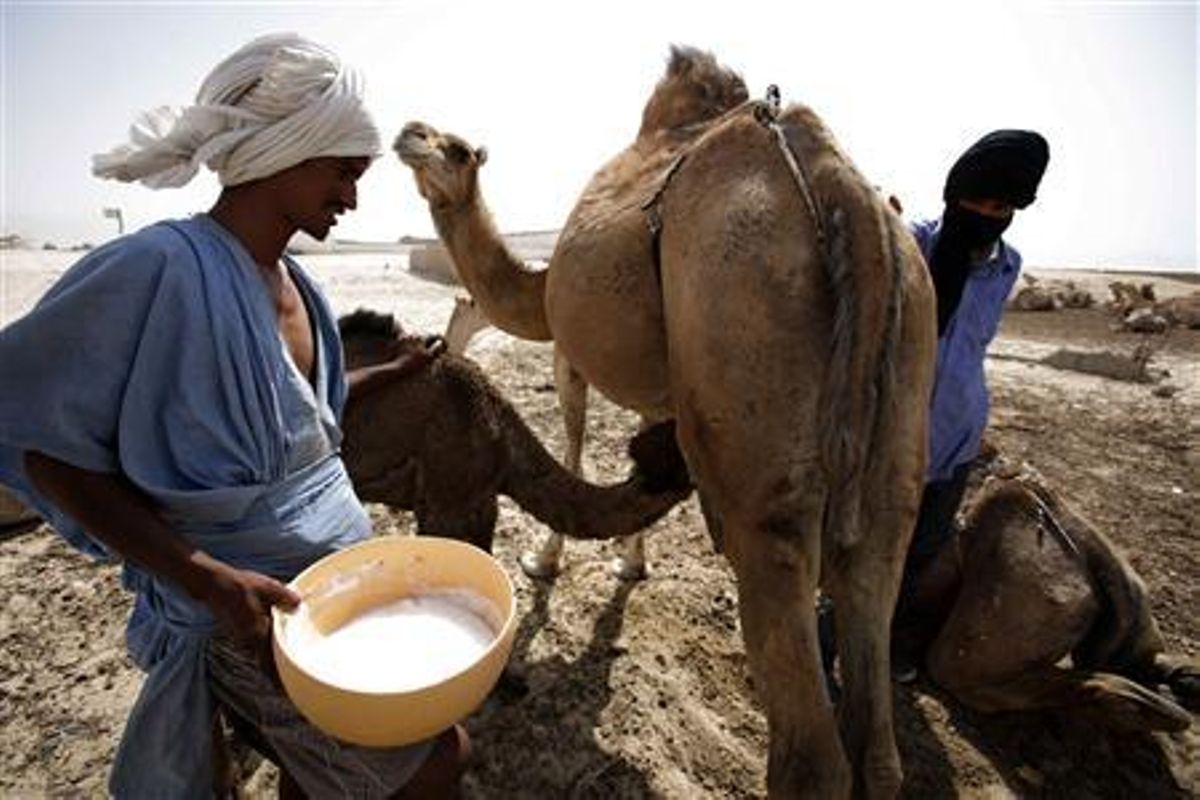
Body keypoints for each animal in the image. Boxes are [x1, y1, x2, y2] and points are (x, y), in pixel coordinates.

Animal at [398, 46, 936, 798]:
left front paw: (545, 561)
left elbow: (572, 434)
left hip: (742, 323)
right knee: (877, 667)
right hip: (908, 367)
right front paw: (632, 564)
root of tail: (846, 194)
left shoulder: (568, 346)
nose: (409, 131)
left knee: (811, 746)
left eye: (452, 147)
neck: (536, 287)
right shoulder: (667, 387)